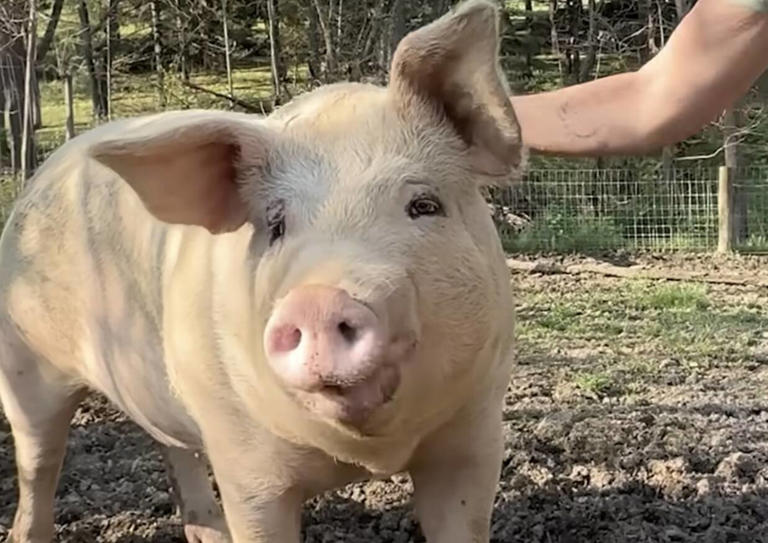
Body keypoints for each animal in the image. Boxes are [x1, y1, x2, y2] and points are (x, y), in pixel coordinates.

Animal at [0, 1, 526, 541]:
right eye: (276, 225)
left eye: (424, 205)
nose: (317, 300)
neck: (364, 456)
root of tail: (39, 177)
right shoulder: (243, 462)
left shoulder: (475, 435)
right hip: (23, 362)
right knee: (39, 461)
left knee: (172, 447)